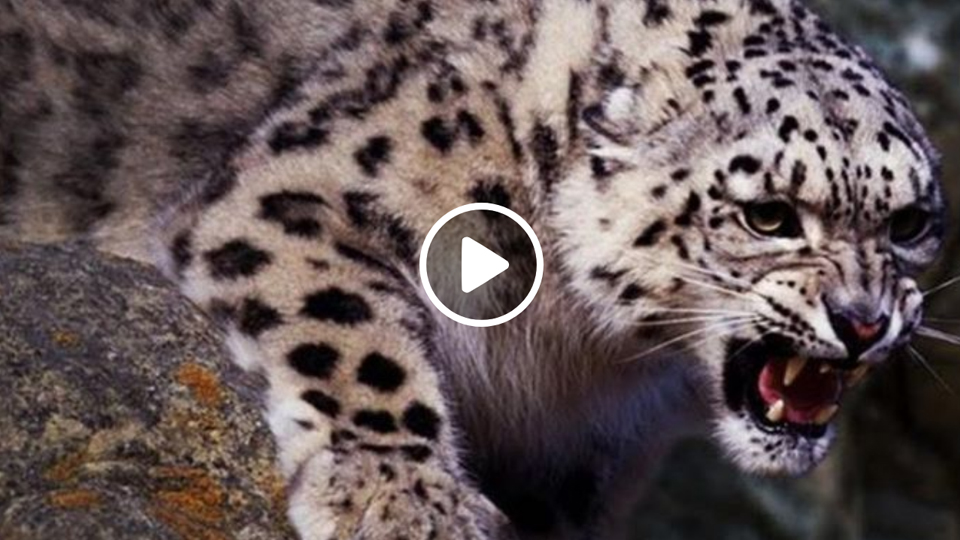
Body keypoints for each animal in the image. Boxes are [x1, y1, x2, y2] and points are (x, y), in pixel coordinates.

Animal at [0, 0, 946, 538]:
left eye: (909, 223)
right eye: (768, 214)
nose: (864, 322)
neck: (580, 357)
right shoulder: (299, 189)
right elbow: (354, 341)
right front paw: (404, 495)